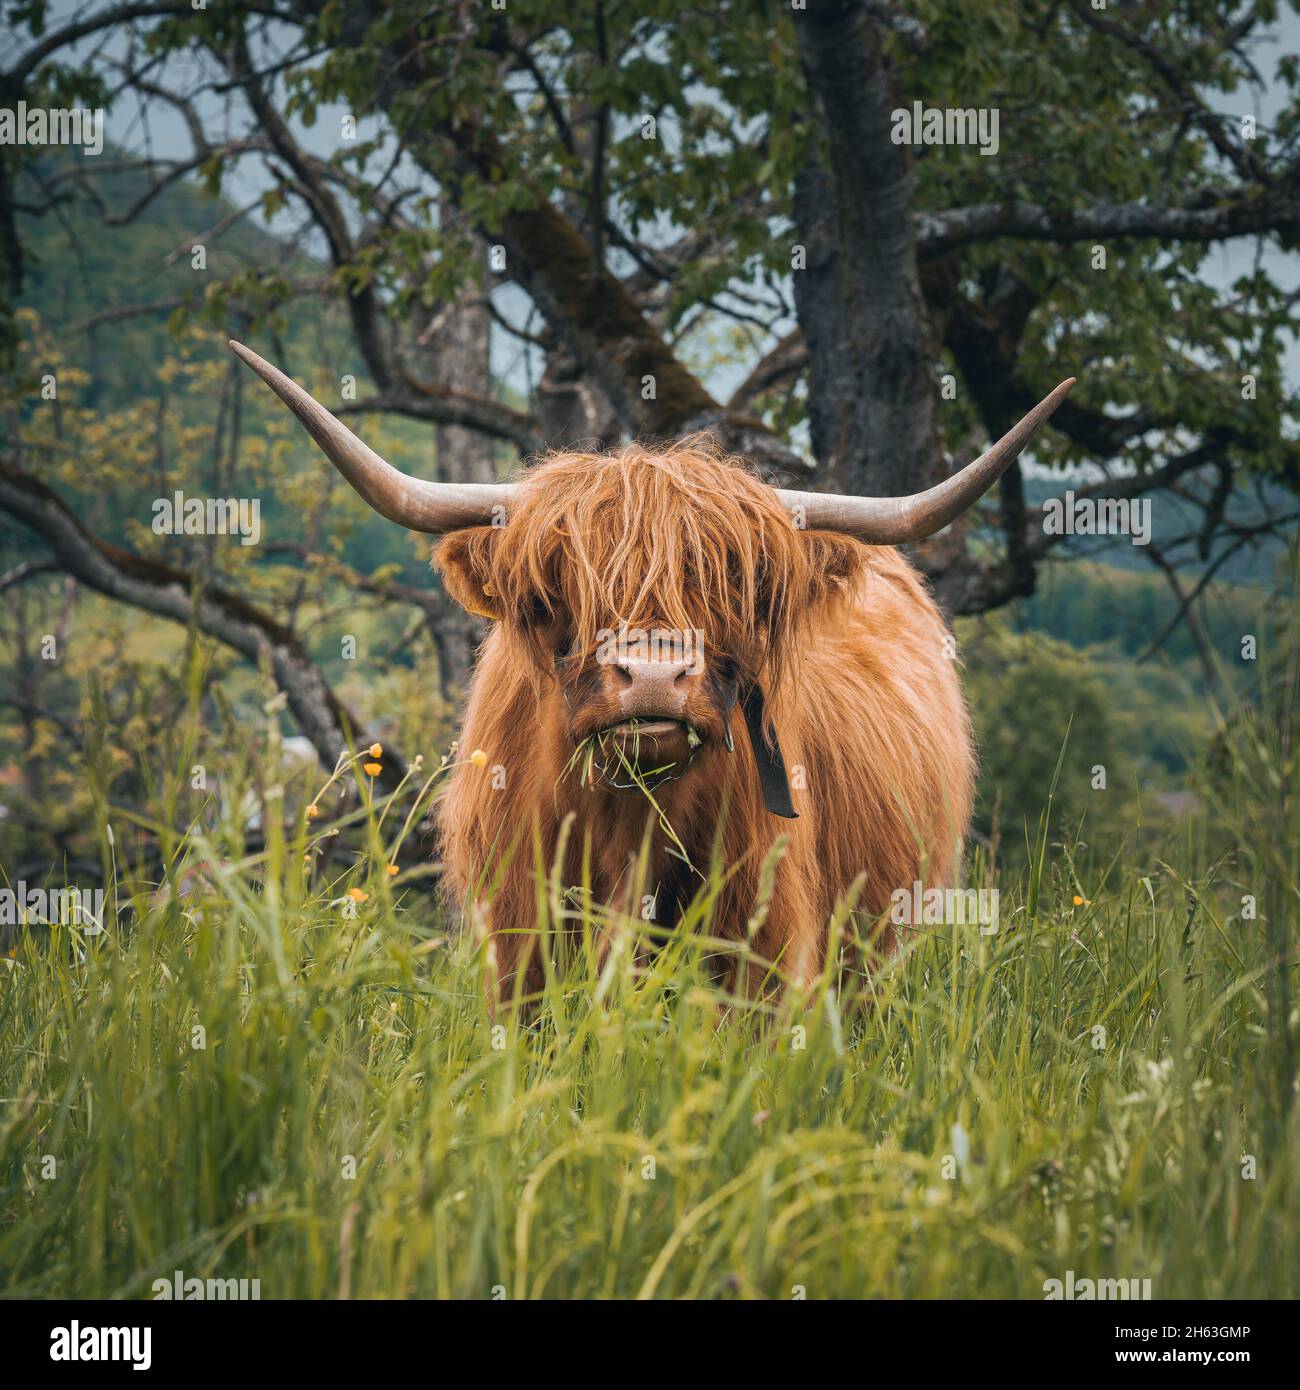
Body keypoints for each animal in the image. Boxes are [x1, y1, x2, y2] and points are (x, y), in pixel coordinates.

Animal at [231, 340, 1072, 1005]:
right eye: (555, 594)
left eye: (736, 590)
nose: (655, 677)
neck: (627, 826)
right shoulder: (519, 954)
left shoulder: (764, 956)